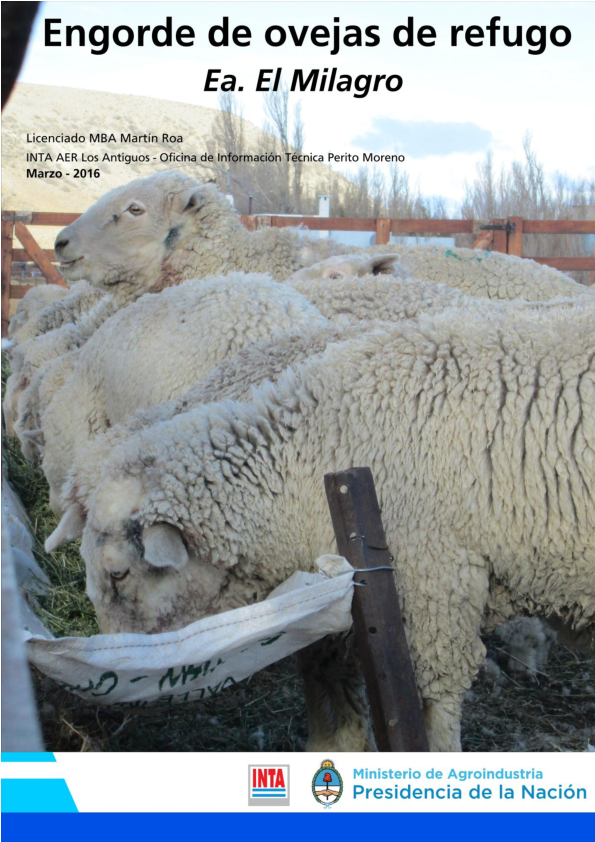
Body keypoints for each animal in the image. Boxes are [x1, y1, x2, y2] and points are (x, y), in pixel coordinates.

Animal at [77, 302, 594, 752]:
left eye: (119, 573)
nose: (116, 698)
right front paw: (334, 746)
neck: (308, 458)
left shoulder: (435, 585)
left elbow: (433, 702)